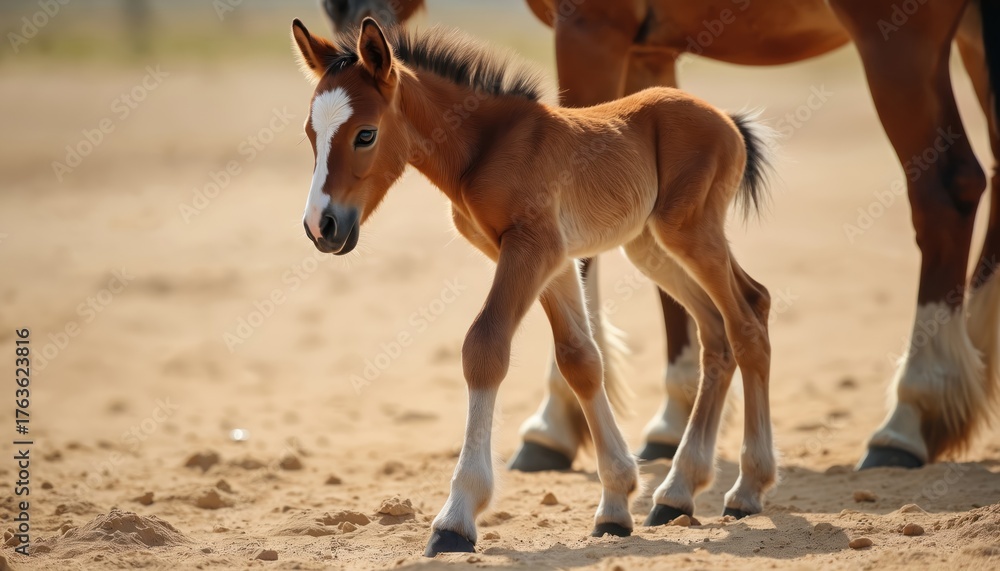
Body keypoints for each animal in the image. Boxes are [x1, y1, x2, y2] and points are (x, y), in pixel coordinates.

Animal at [291, 17, 778, 555]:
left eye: (365, 134)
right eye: (311, 133)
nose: (321, 226)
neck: (485, 147)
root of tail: (728, 121)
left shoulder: (531, 248)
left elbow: (485, 348)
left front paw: (456, 518)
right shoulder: (556, 261)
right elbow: (581, 361)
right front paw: (615, 504)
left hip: (687, 232)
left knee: (747, 319)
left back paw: (747, 489)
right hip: (649, 245)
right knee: (720, 329)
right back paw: (677, 492)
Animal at [324, 0, 1000, 472]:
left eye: (365, 134)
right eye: (313, 131)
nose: (323, 225)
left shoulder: (589, 33)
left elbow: (523, 325)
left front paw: (541, 443)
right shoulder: (649, 59)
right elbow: (609, 328)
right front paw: (642, 444)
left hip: (891, 46)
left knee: (939, 190)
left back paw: (899, 424)